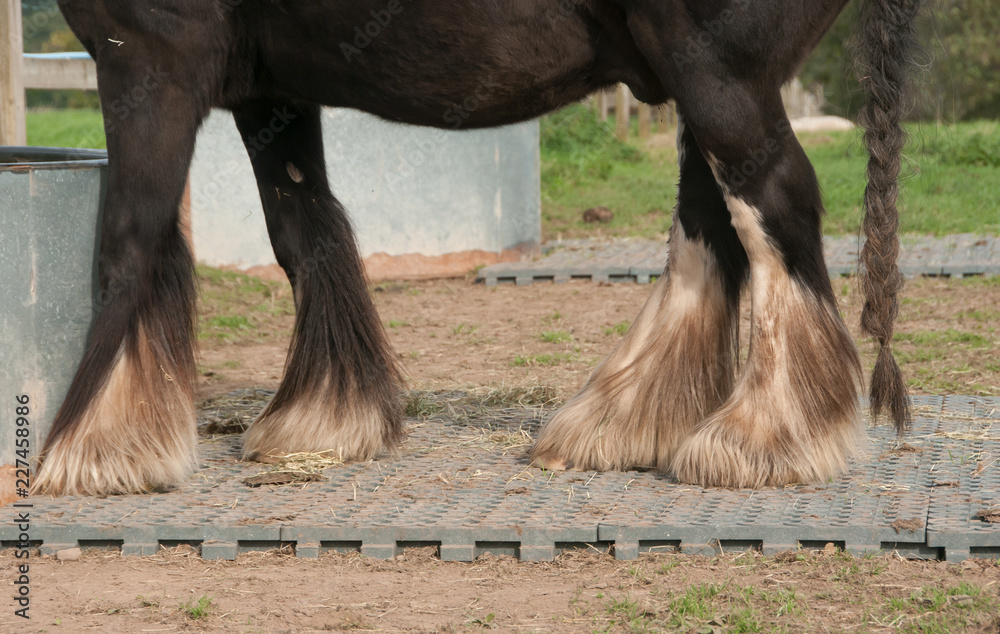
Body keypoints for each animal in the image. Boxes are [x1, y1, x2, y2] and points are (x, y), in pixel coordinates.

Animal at [35, 0, 920, 496]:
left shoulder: (152, 58)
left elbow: (129, 242)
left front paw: (91, 449)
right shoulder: (267, 88)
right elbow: (303, 230)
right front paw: (324, 413)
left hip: (718, 76)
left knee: (774, 211)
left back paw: (764, 436)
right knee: (713, 227)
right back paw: (622, 421)